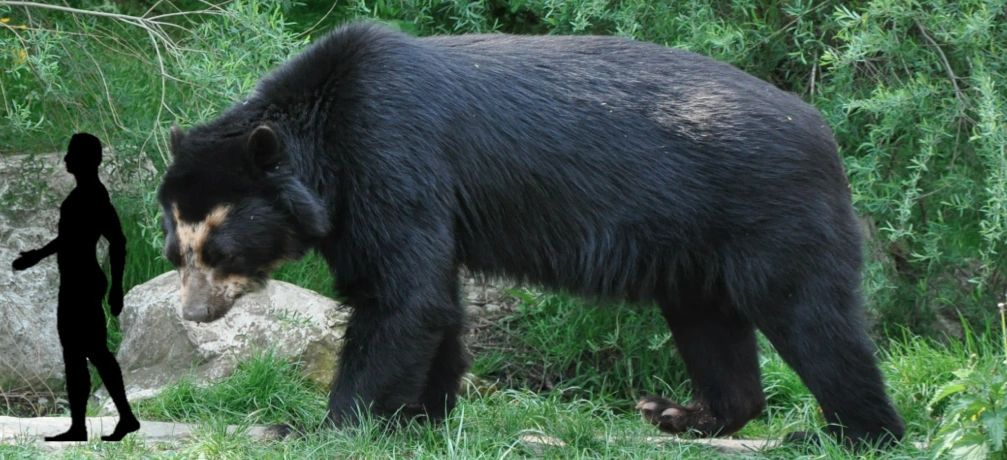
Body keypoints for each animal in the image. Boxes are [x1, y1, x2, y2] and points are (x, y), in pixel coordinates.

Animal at [157, 22, 906, 448]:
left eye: (219, 250)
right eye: (175, 250)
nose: (193, 313)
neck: (324, 146)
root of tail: (825, 136)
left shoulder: (392, 159)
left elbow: (402, 296)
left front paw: (321, 428)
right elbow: (432, 301)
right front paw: (422, 417)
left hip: (774, 218)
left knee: (814, 322)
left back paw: (844, 436)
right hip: (697, 251)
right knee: (711, 326)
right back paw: (679, 415)